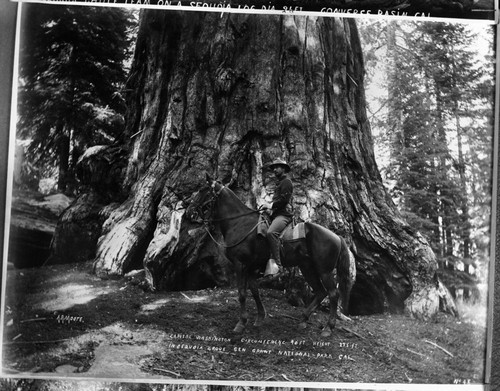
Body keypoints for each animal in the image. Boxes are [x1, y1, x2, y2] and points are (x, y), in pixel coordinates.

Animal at [186, 176, 354, 338]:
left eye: (202, 190)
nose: (189, 211)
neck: (239, 222)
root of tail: (337, 237)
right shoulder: (251, 267)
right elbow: (254, 290)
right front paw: (260, 317)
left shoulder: (240, 264)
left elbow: (242, 293)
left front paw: (241, 323)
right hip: (307, 267)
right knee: (320, 292)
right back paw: (303, 319)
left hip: (324, 271)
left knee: (333, 294)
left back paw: (328, 328)